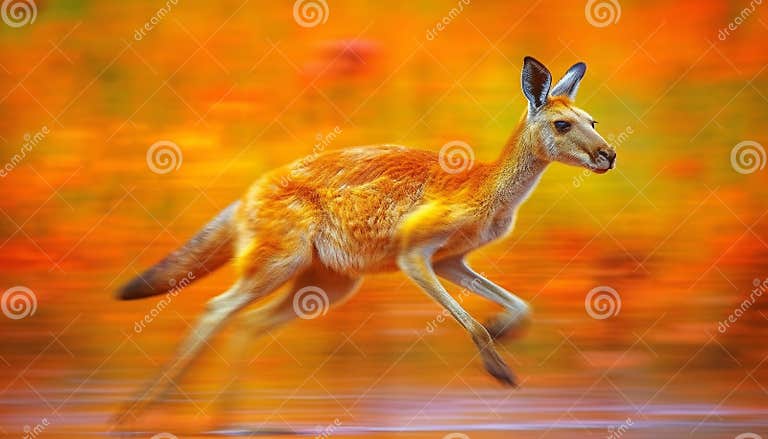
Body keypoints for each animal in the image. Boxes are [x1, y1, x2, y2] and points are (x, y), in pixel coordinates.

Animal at [114, 56, 616, 421]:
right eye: (563, 126)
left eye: (593, 121)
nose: (609, 155)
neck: (486, 187)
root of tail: (246, 196)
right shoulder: (415, 255)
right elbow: (468, 320)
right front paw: (497, 365)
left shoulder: (451, 260)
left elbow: (518, 306)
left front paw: (502, 330)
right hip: (279, 263)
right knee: (217, 310)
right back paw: (153, 408)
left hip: (326, 284)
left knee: (249, 322)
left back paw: (227, 416)